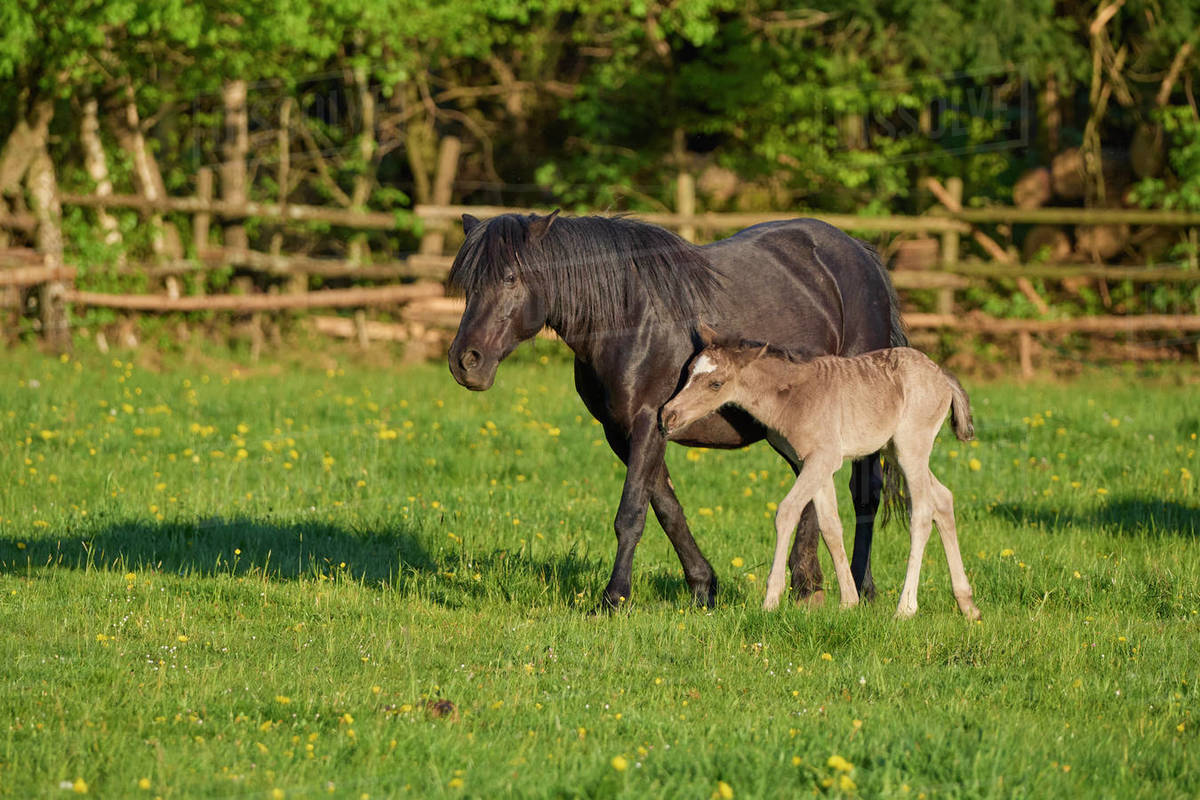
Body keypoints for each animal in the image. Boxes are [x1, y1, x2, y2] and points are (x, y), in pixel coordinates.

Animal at [446, 210, 906, 610]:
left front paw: (613, 599)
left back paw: (860, 588)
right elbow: (667, 508)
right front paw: (703, 587)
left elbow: (631, 513)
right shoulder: (622, 431)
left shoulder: (648, 422)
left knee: (864, 494)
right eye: (468, 282)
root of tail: (860, 253)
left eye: (510, 277)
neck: (628, 317)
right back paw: (807, 585)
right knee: (812, 487)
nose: (465, 362)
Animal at [661, 328, 980, 620]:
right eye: (688, 372)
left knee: (923, 512)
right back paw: (967, 605)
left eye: (716, 384)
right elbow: (830, 526)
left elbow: (787, 512)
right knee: (943, 499)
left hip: (910, 448)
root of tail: (942, 375)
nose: (667, 415)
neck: (792, 397)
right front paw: (849, 602)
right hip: (894, 450)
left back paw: (906, 608)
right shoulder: (815, 464)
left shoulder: (823, 458)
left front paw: (771, 599)